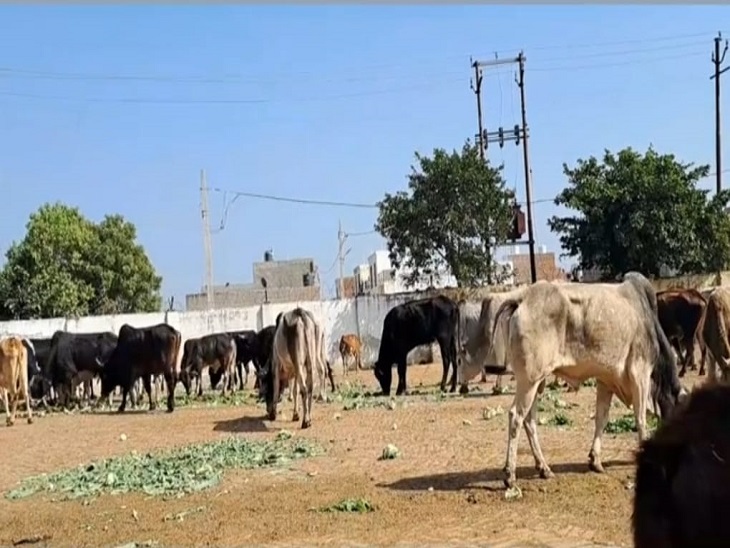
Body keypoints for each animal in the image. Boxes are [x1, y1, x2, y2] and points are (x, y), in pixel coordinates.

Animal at [483, 273, 684, 488]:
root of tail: (523, 297)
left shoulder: (606, 380)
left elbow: (601, 418)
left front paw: (595, 460)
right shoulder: (640, 374)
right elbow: (641, 419)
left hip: (536, 382)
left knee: (530, 420)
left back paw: (543, 468)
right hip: (529, 380)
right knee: (516, 417)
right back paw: (510, 475)